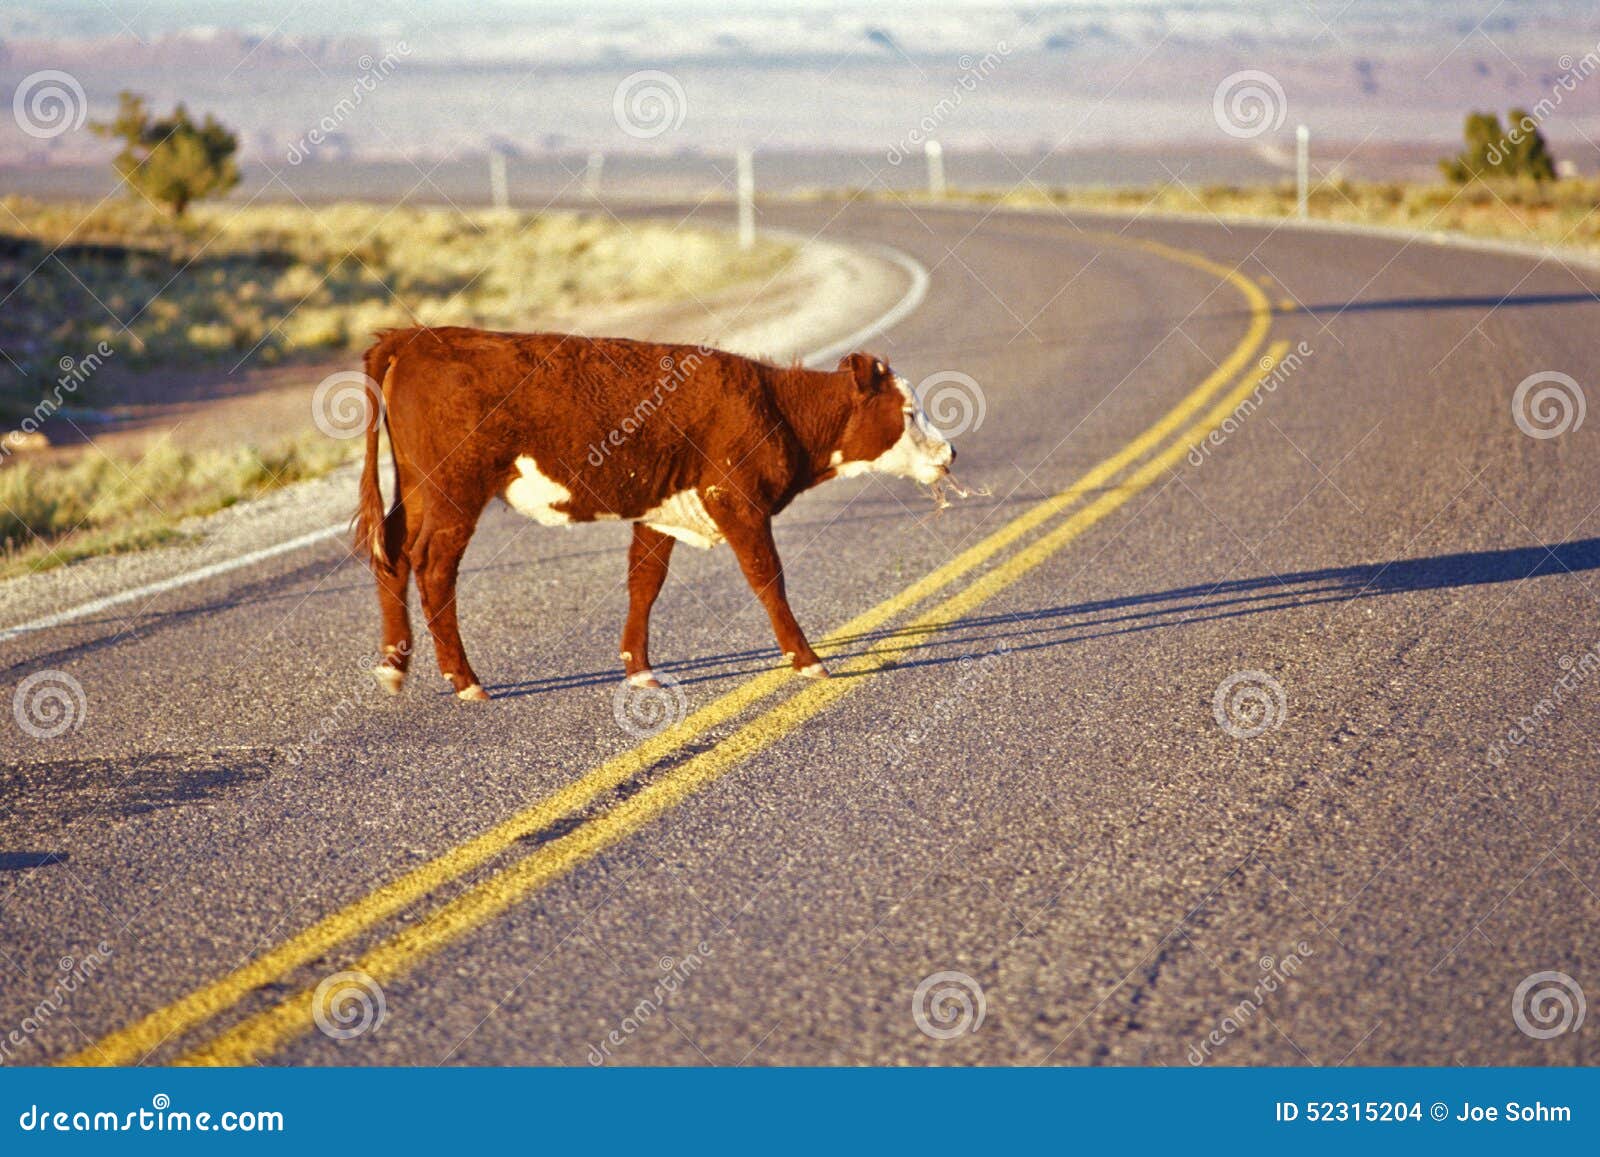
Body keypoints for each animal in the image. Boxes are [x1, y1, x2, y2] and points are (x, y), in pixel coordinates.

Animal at [353, 326, 955, 701]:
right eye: (907, 411)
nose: (949, 453)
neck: (773, 405)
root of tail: (417, 336)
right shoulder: (736, 502)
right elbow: (768, 580)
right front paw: (807, 659)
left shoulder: (662, 510)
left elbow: (645, 582)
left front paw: (638, 669)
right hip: (454, 490)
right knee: (433, 567)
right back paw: (464, 679)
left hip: (418, 487)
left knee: (393, 553)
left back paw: (393, 666)